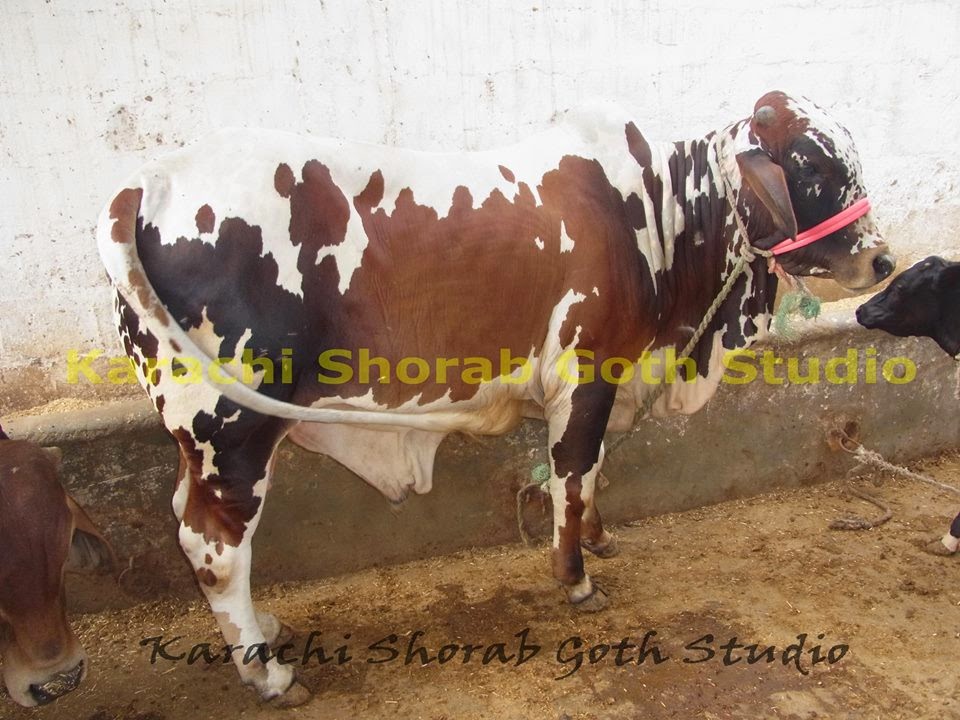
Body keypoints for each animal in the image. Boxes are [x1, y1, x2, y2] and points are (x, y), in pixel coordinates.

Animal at [97, 91, 894, 705]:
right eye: (811, 164)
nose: (882, 259)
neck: (659, 216)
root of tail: (148, 182)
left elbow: (594, 471)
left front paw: (600, 537)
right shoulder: (585, 370)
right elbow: (572, 471)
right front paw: (575, 578)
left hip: (198, 440)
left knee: (193, 525)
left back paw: (263, 633)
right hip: (233, 429)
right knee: (214, 546)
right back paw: (269, 676)